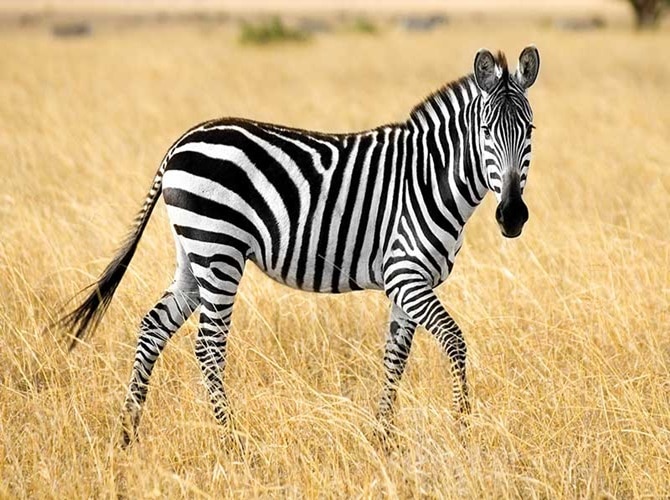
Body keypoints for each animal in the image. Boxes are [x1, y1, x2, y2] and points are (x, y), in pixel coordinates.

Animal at [58, 46, 540, 446]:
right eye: (486, 131)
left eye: (530, 130)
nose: (512, 215)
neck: (429, 177)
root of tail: (182, 141)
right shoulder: (405, 274)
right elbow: (455, 342)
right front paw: (463, 429)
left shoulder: (406, 285)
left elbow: (395, 358)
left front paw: (383, 438)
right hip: (219, 249)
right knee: (208, 346)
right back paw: (233, 442)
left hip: (193, 255)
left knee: (153, 327)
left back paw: (127, 432)